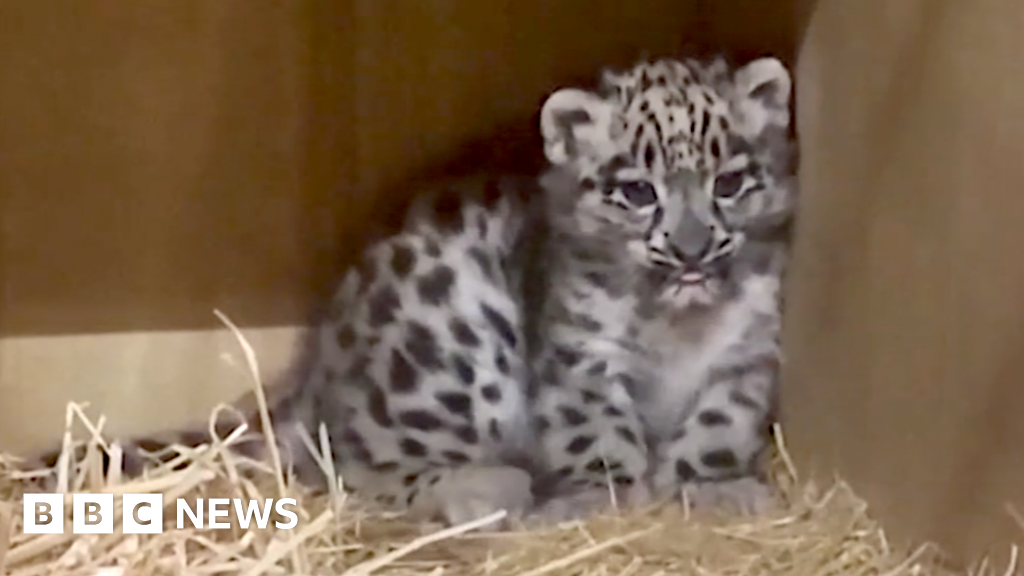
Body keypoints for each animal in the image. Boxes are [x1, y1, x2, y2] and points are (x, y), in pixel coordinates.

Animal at [526, 53, 797, 519]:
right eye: (638, 191)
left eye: (728, 183)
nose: (691, 251)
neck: (678, 330)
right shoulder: (586, 349)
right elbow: (592, 427)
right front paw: (596, 495)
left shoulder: (745, 354)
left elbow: (718, 424)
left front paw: (712, 487)